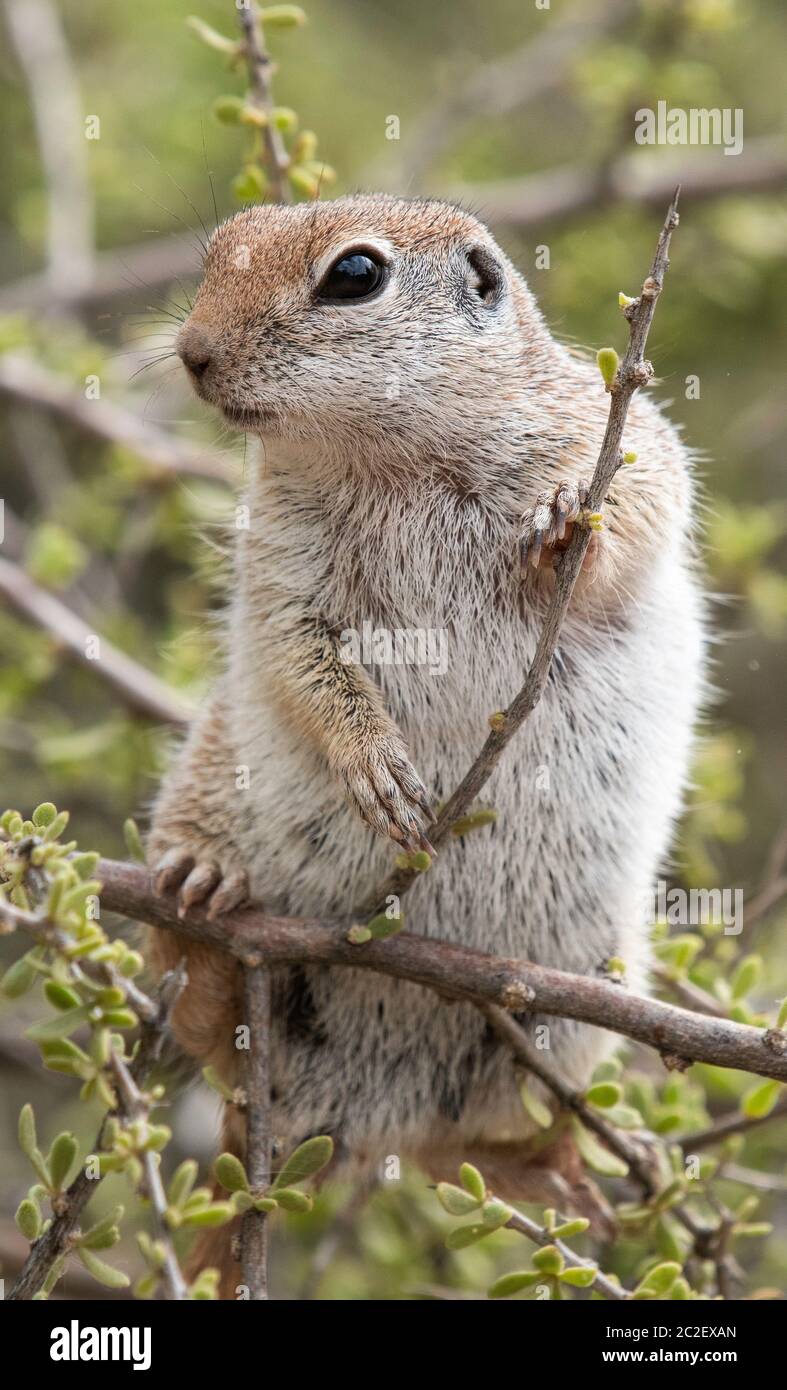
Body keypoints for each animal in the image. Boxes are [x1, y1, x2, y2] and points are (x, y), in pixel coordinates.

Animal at [147, 194, 705, 1282]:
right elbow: (299, 654)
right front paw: (374, 765)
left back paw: (569, 1171)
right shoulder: (282, 564)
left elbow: (634, 511)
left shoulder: (617, 437)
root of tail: (328, 1120)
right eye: (219, 247)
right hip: (209, 781)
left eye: (354, 275)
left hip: (570, 1009)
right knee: (205, 1025)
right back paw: (203, 895)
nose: (192, 352)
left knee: (464, 1145)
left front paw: (566, 527)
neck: (387, 456)